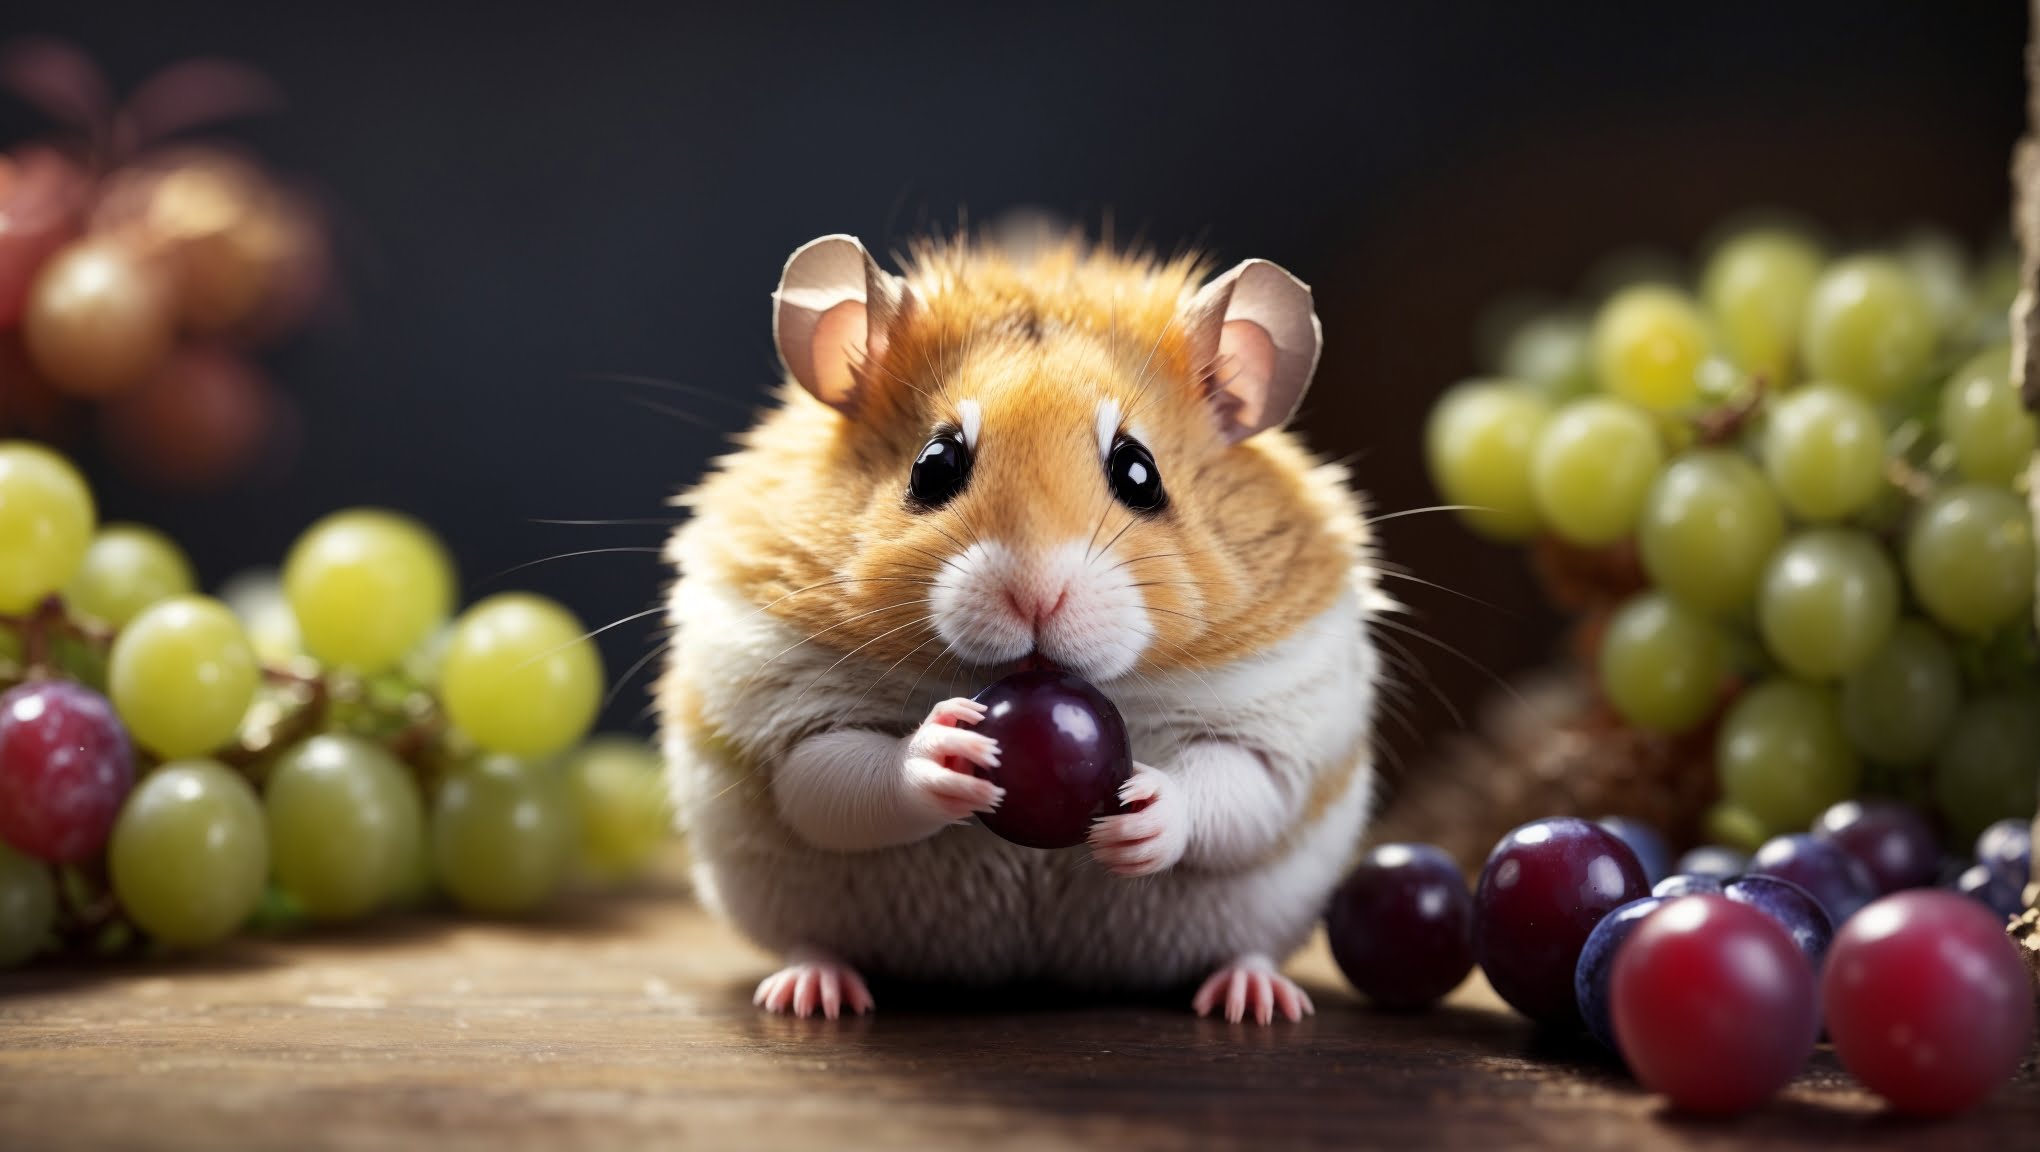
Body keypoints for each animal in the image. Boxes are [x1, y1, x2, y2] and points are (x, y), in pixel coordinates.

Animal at [659, 230, 1385, 1024]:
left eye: (1139, 472)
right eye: (934, 465)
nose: (1037, 598)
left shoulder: (1281, 726)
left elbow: (1235, 789)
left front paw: (1143, 811)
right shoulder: (787, 713)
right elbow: (838, 776)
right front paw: (946, 750)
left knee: (1246, 942)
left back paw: (1255, 999)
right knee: (812, 938)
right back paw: (811, 992)